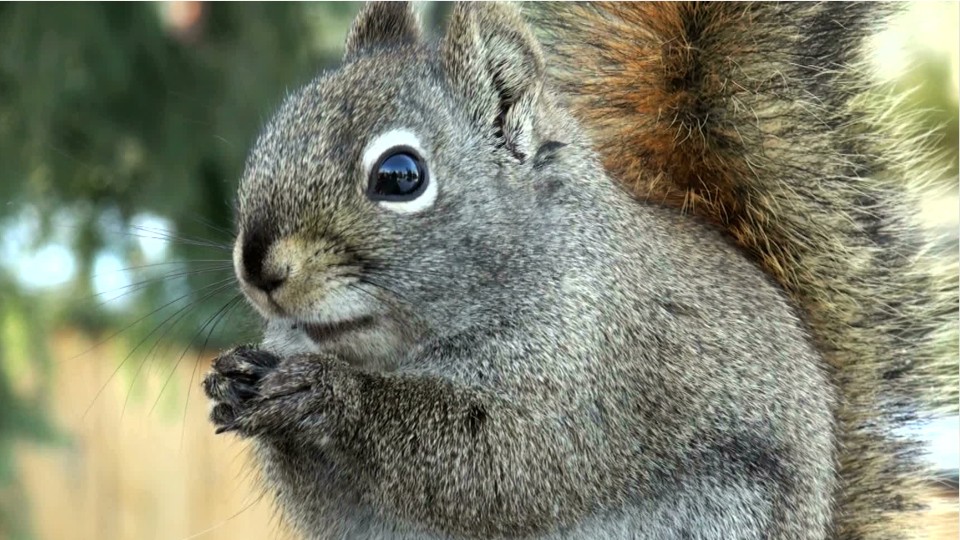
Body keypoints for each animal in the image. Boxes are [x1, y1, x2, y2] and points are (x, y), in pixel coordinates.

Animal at [201, 2, 957, 539]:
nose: (257, 264)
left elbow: (504, 462)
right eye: (276, 131)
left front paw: (328, 395)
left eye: (400, 176)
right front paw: (236, 381)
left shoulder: (597, 373)